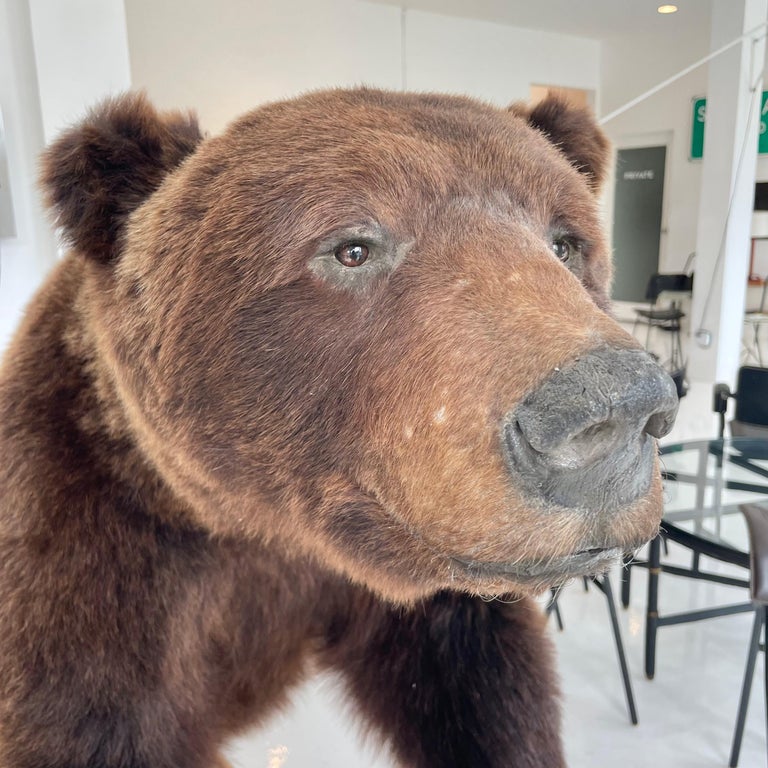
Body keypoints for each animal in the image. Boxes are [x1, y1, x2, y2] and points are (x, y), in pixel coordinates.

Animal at [0, 88, 678, 768]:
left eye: (566, 243)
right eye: (351, 247)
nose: (612, 407)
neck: (270, 532)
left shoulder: (431, 583)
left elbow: (487, 696)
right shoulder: (91, 561)